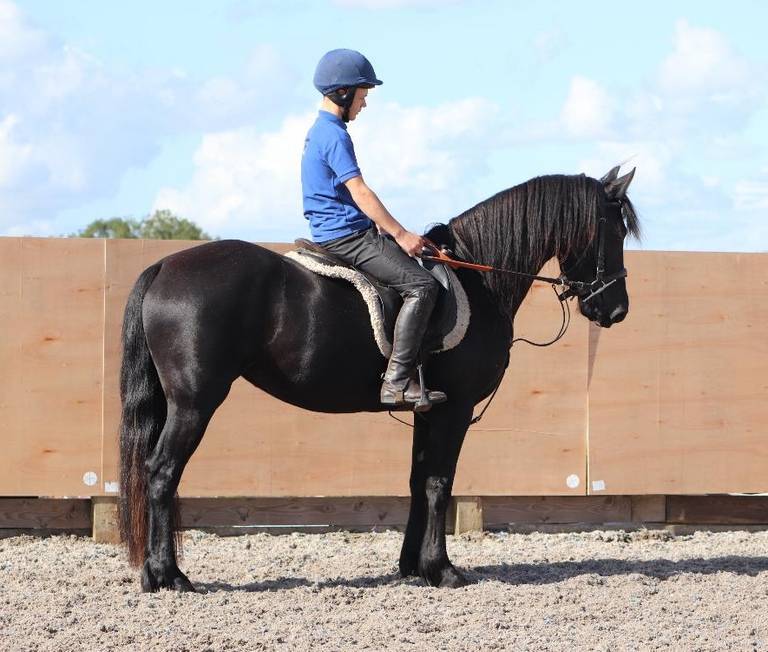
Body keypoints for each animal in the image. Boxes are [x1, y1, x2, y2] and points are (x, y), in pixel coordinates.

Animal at [118, 167, 640, 592]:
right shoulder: (455, 409)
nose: (616, 310)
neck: (479, 280)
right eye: (613, 230)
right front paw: (442, 570)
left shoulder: (430, 409)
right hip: (194, 402)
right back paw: (170, 575)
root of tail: (164, 266)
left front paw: (413, 567)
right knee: (161, 472)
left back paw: (156, 573)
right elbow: (439, 483)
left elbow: (417, 480)